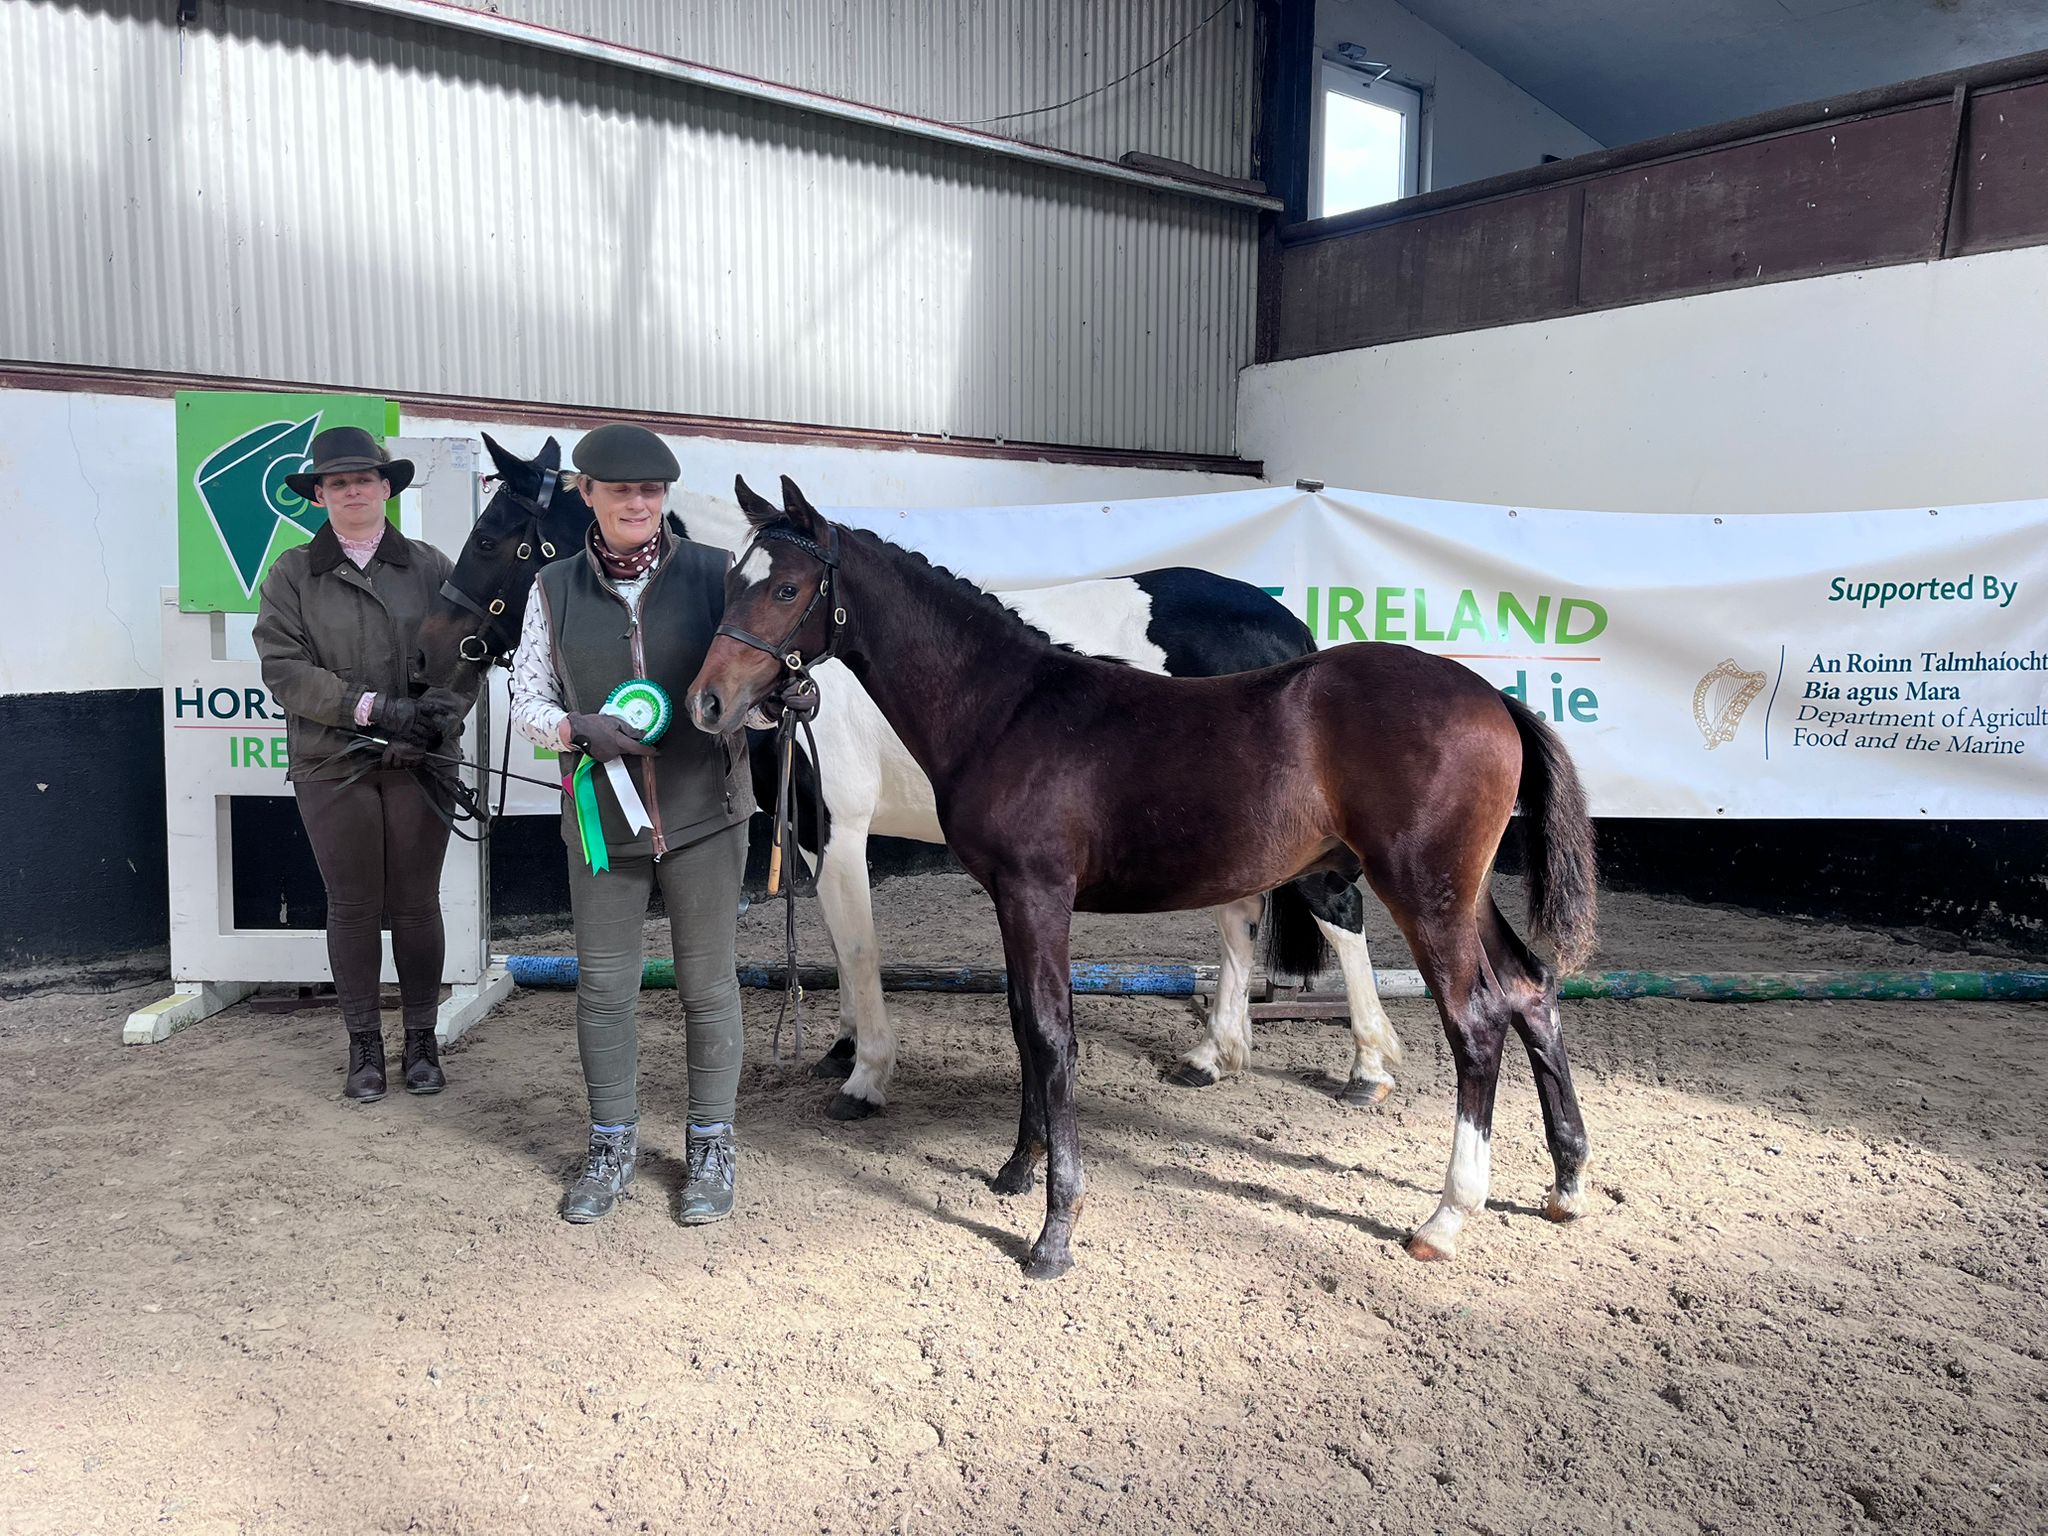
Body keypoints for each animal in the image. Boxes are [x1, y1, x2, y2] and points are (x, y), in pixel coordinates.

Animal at [414, 436, 1407, 1115]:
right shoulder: (812, 838)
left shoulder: (844, 832)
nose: (427, 663)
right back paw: (1215, 1054)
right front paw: (844, 1046)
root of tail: (1287, 631)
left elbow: (857, 948)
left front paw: (867, 1074)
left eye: (500, 537)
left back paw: (1365, 1065)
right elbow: (832, 944)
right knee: (1242, 917)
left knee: (1340, 914)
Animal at [687, 476, 1599, 1281]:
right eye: (729, 583)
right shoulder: (1011, 899)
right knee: (1530, 988)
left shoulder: (1030, 892)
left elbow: (1049, 1033)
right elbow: (1024, 1023)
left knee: (1475, 1021)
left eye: (789, 588)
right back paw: (1566, 1182)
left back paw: (1444, 1213)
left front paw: (1054, 1230)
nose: (706, 702)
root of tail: (1493, 697)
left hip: (1425, 892)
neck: (1007, 709)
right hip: (1464, 893)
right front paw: (1016, 1169)